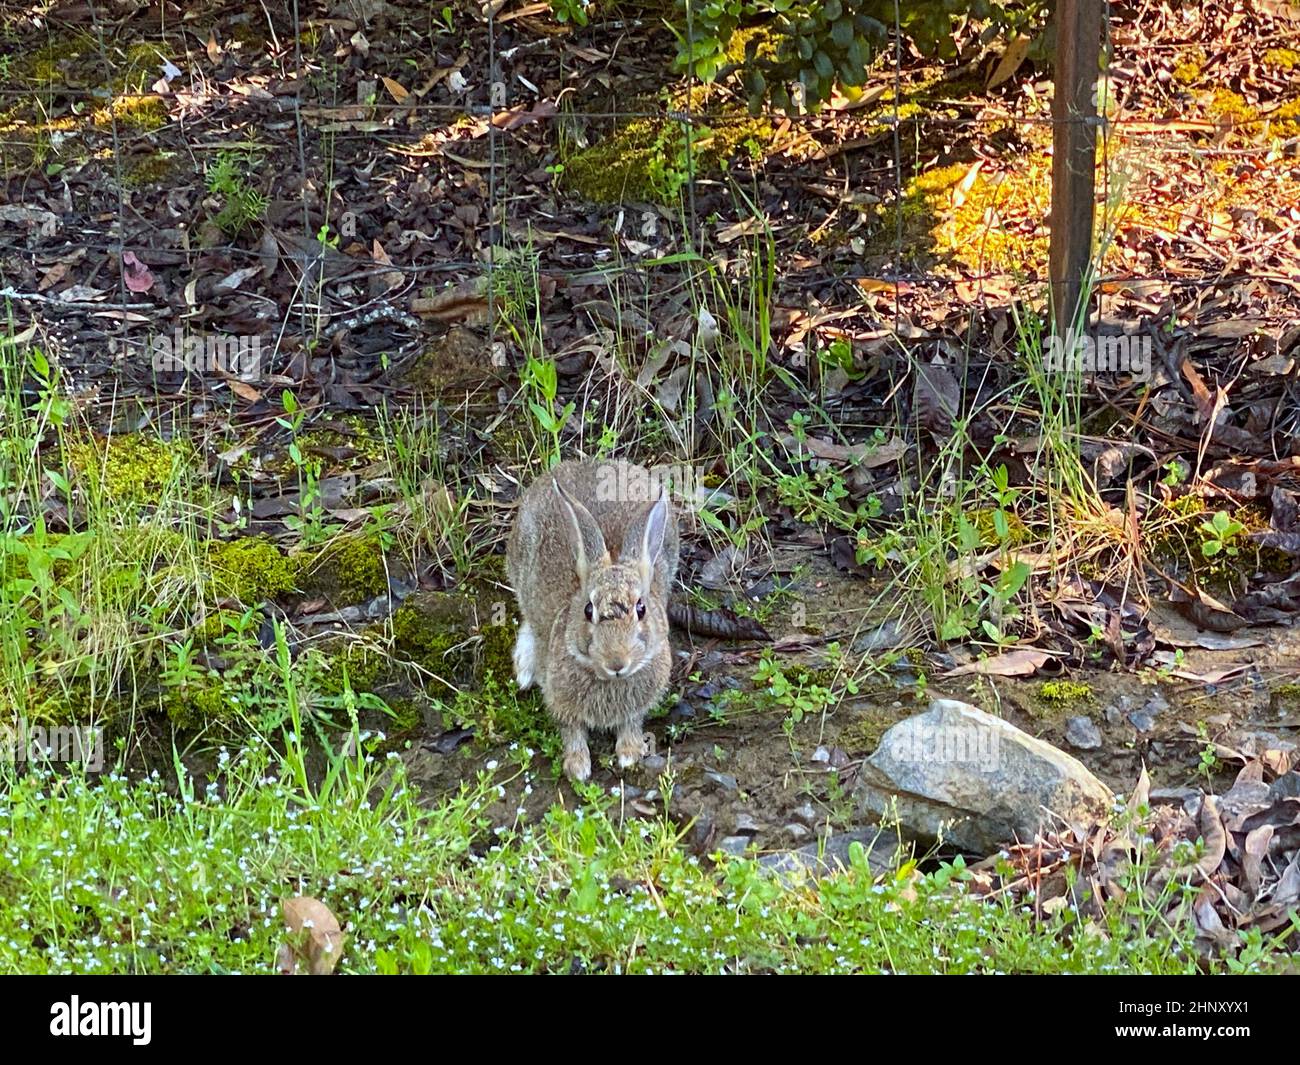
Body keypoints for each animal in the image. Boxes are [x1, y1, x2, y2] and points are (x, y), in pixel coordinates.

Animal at [506, 459, 679, 782]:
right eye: (588, 610)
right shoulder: (559, 701)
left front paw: (629, 753)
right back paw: (525, 667)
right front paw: (577, 767)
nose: (616, 662)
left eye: (641, 609)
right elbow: (571, 730)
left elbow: (631, 721)